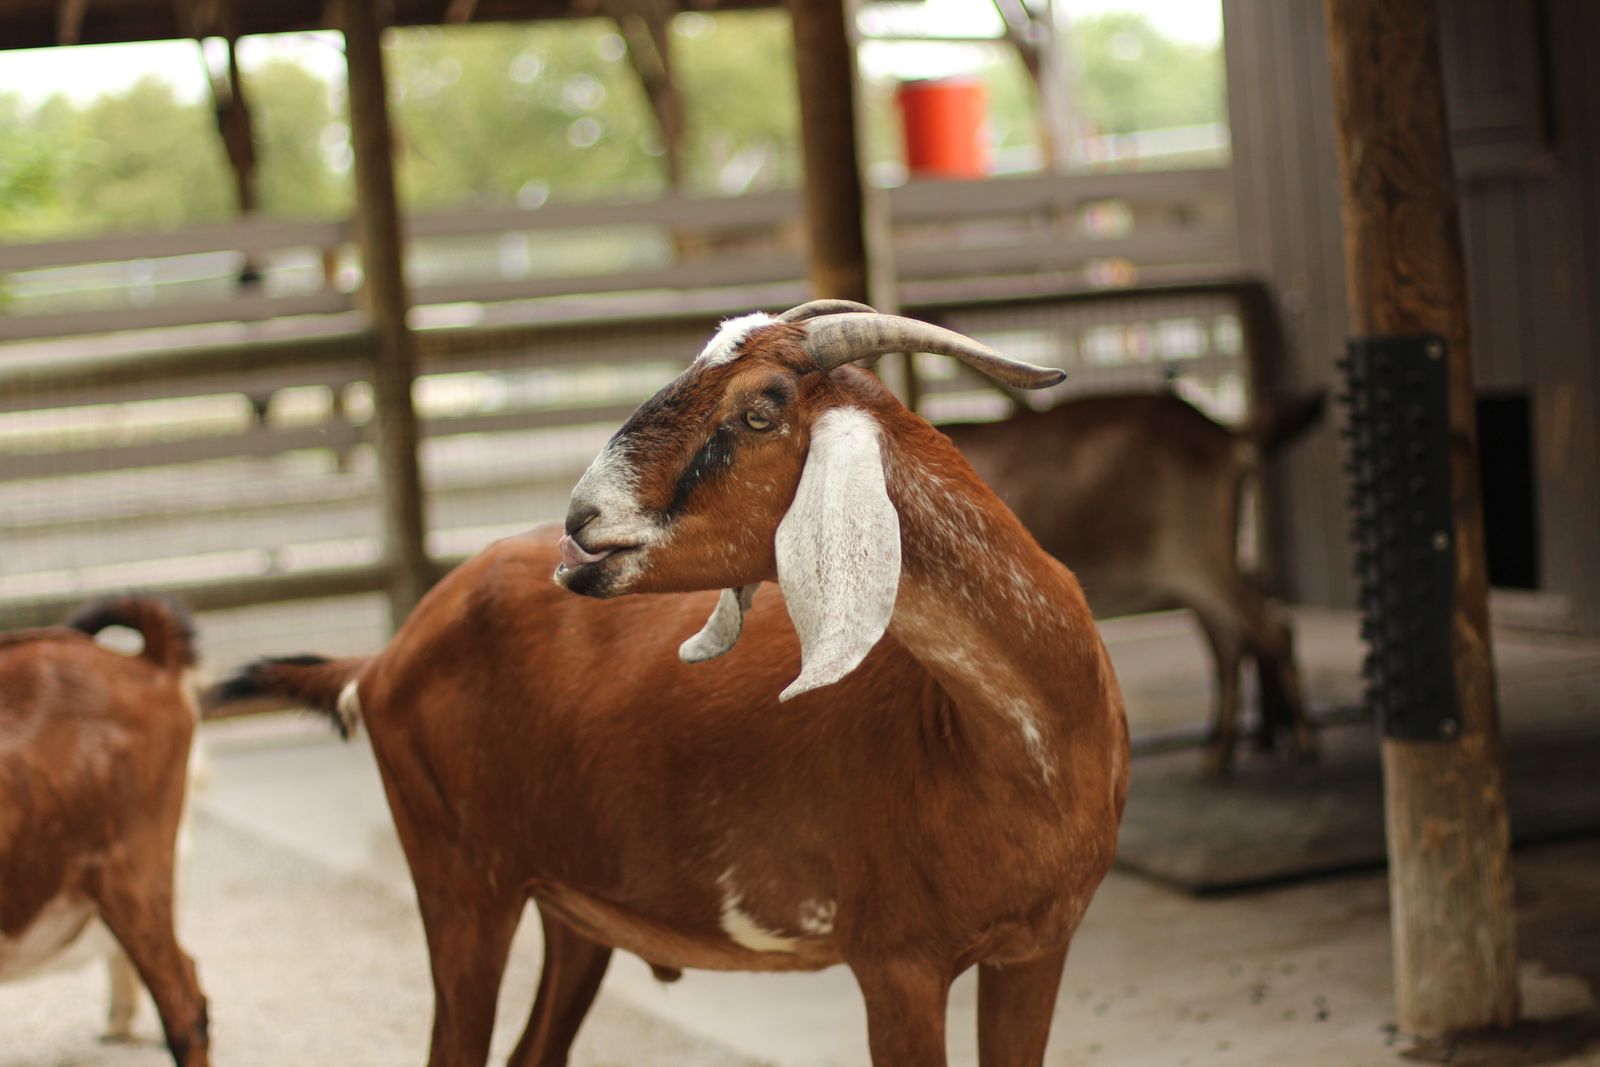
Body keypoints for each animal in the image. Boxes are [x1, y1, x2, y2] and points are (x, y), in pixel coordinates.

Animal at [208, 301, 1127, 1067]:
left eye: (759, 409)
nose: (581, 521)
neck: (1006, 735)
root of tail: (387, 652)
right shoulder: (896, 961)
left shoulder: (1035, 949)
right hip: (460, 880)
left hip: (567, 903)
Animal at [942, 390, 1325, 773]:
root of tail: (1225, 436)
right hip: (1201, 577)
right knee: (1231, 643)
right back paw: (1219, 755)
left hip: (1201, 563)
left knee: (1271, 631)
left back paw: (1303, 744)